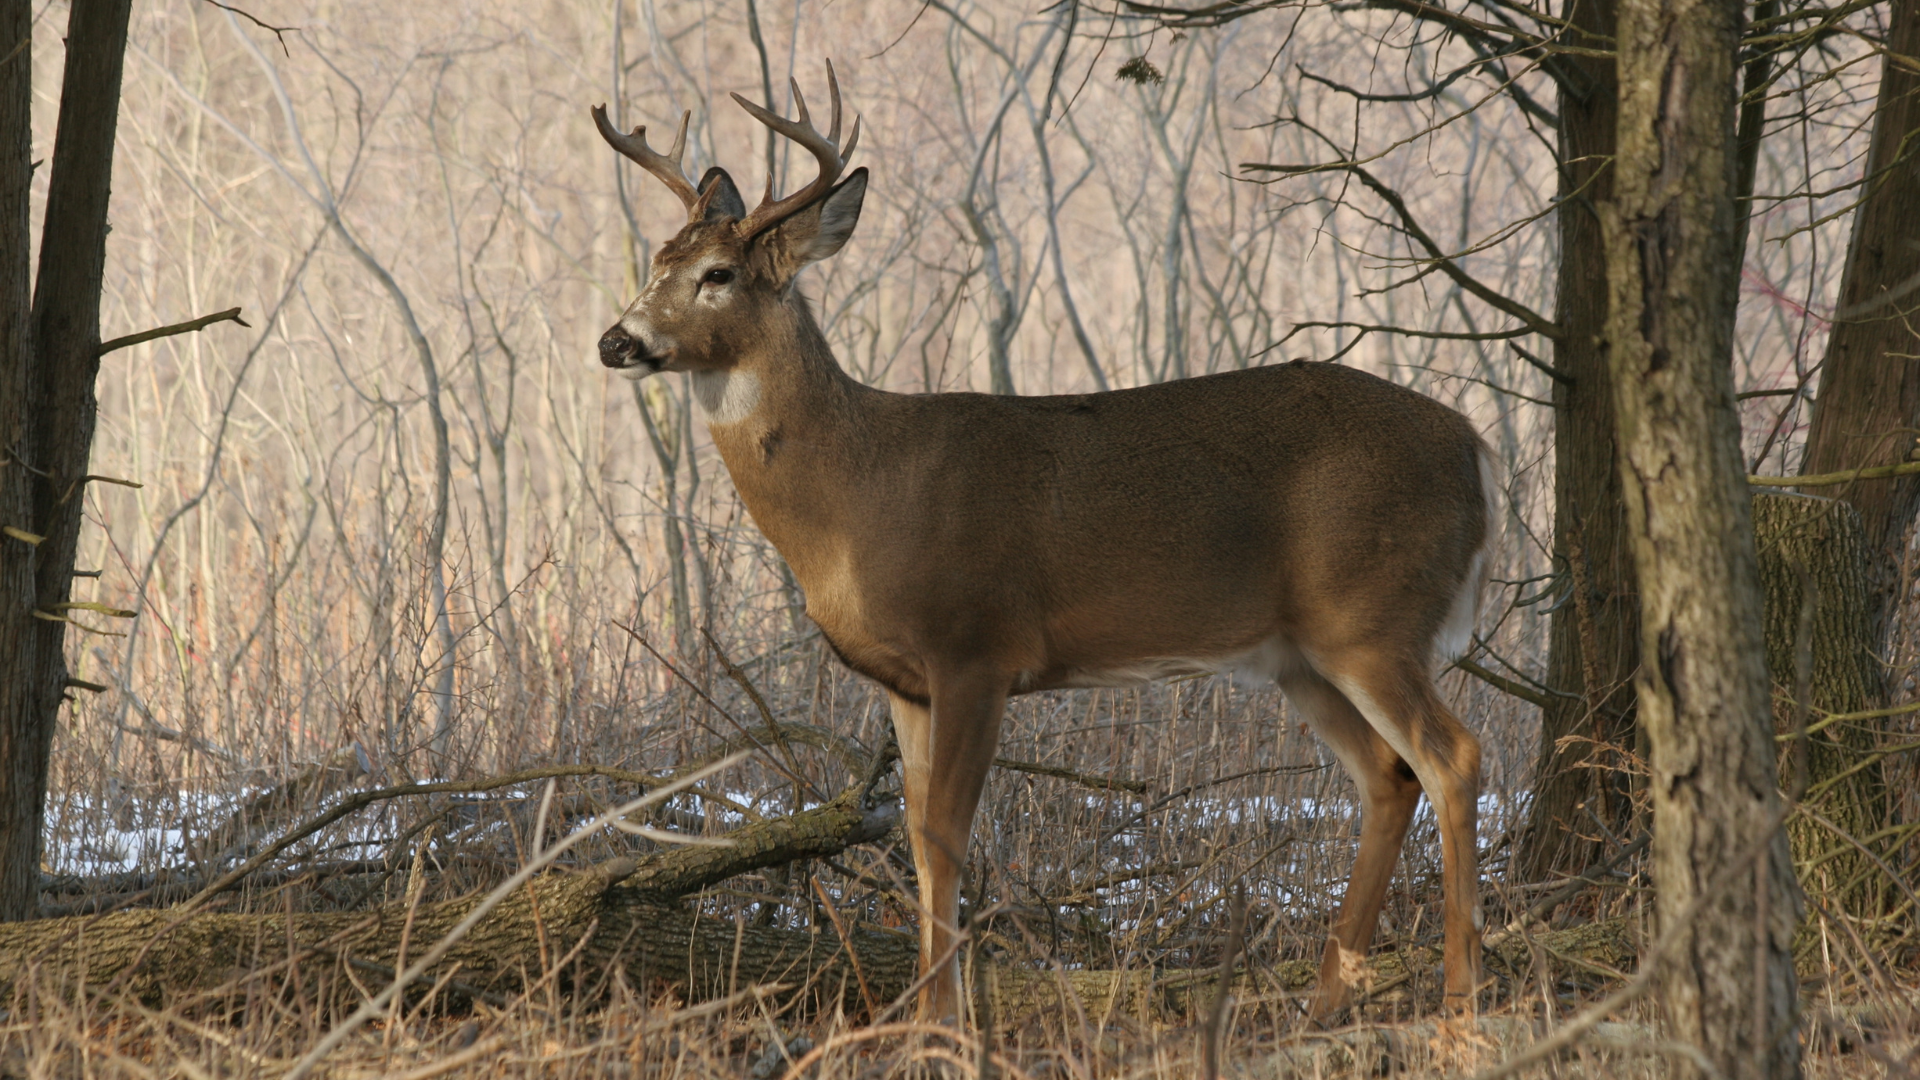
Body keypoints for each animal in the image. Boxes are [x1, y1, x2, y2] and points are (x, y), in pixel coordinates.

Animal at [591, 63, 1498, 1023]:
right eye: (657, 261)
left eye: (718, 274)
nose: (616, 340)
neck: (858, 495)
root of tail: (1479, 450)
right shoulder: (904, 680)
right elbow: (915, 837)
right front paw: (927, 1017)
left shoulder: (976, 645)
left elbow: (947, 835)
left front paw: (943, 1026)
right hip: (1301, 654)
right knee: (1388, 777)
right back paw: (1323, 1004)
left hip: (1374, 616)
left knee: (1454, 759)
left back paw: (1461, 1007)